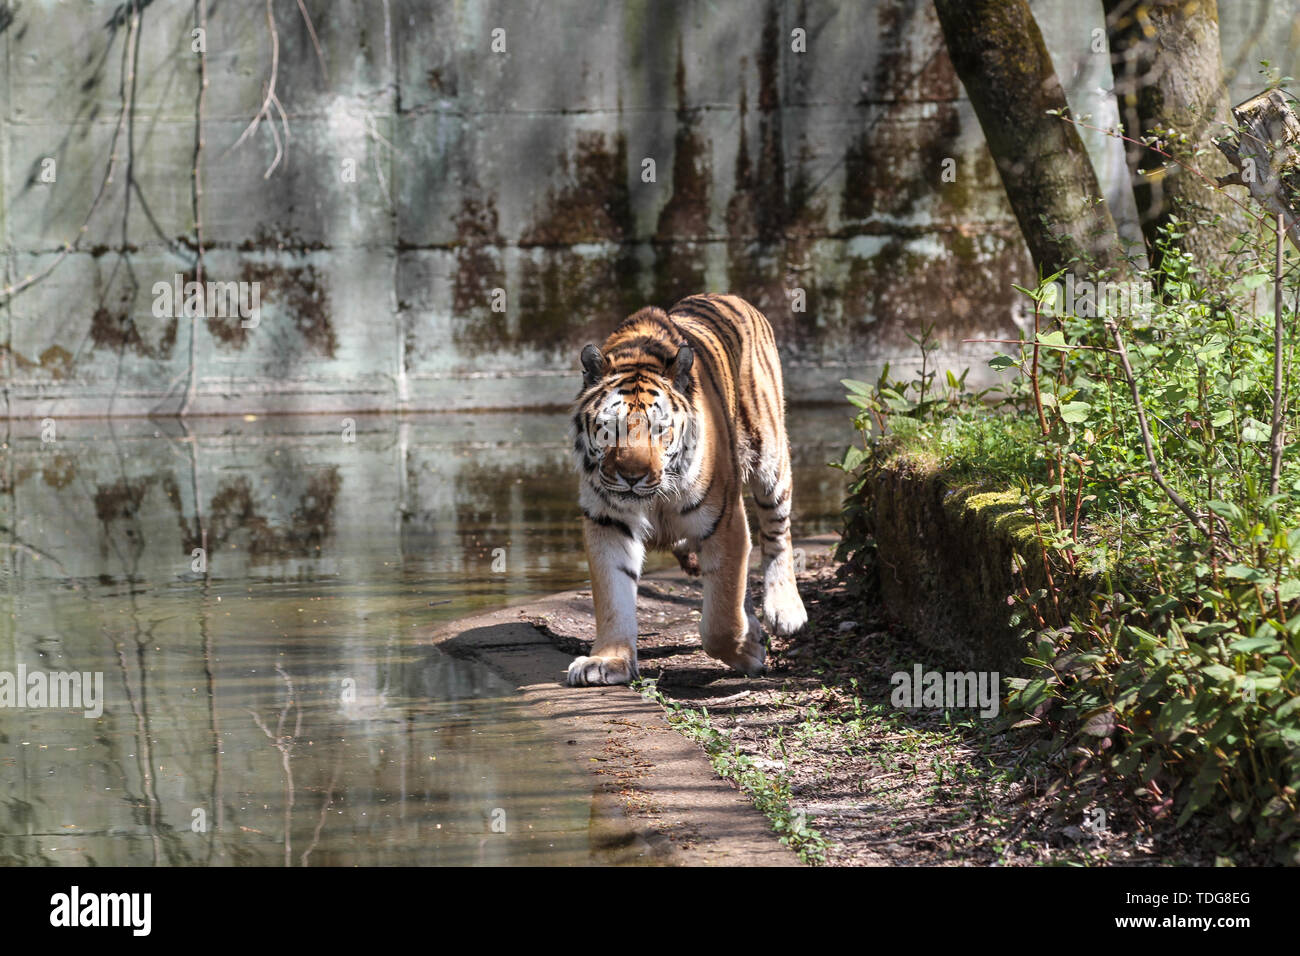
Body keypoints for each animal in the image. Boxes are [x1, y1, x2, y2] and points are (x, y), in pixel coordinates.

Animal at [566, 293, 808, 686]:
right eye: (609, 428)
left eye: (659, 428)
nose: (631, 476)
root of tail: (727, 295)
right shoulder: (607, 521)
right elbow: (612, 596)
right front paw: (607, 660)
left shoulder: (724, 521)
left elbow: (720, 618)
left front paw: (748, 653)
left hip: (770, 457)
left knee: (777, 532)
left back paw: (785, 610)